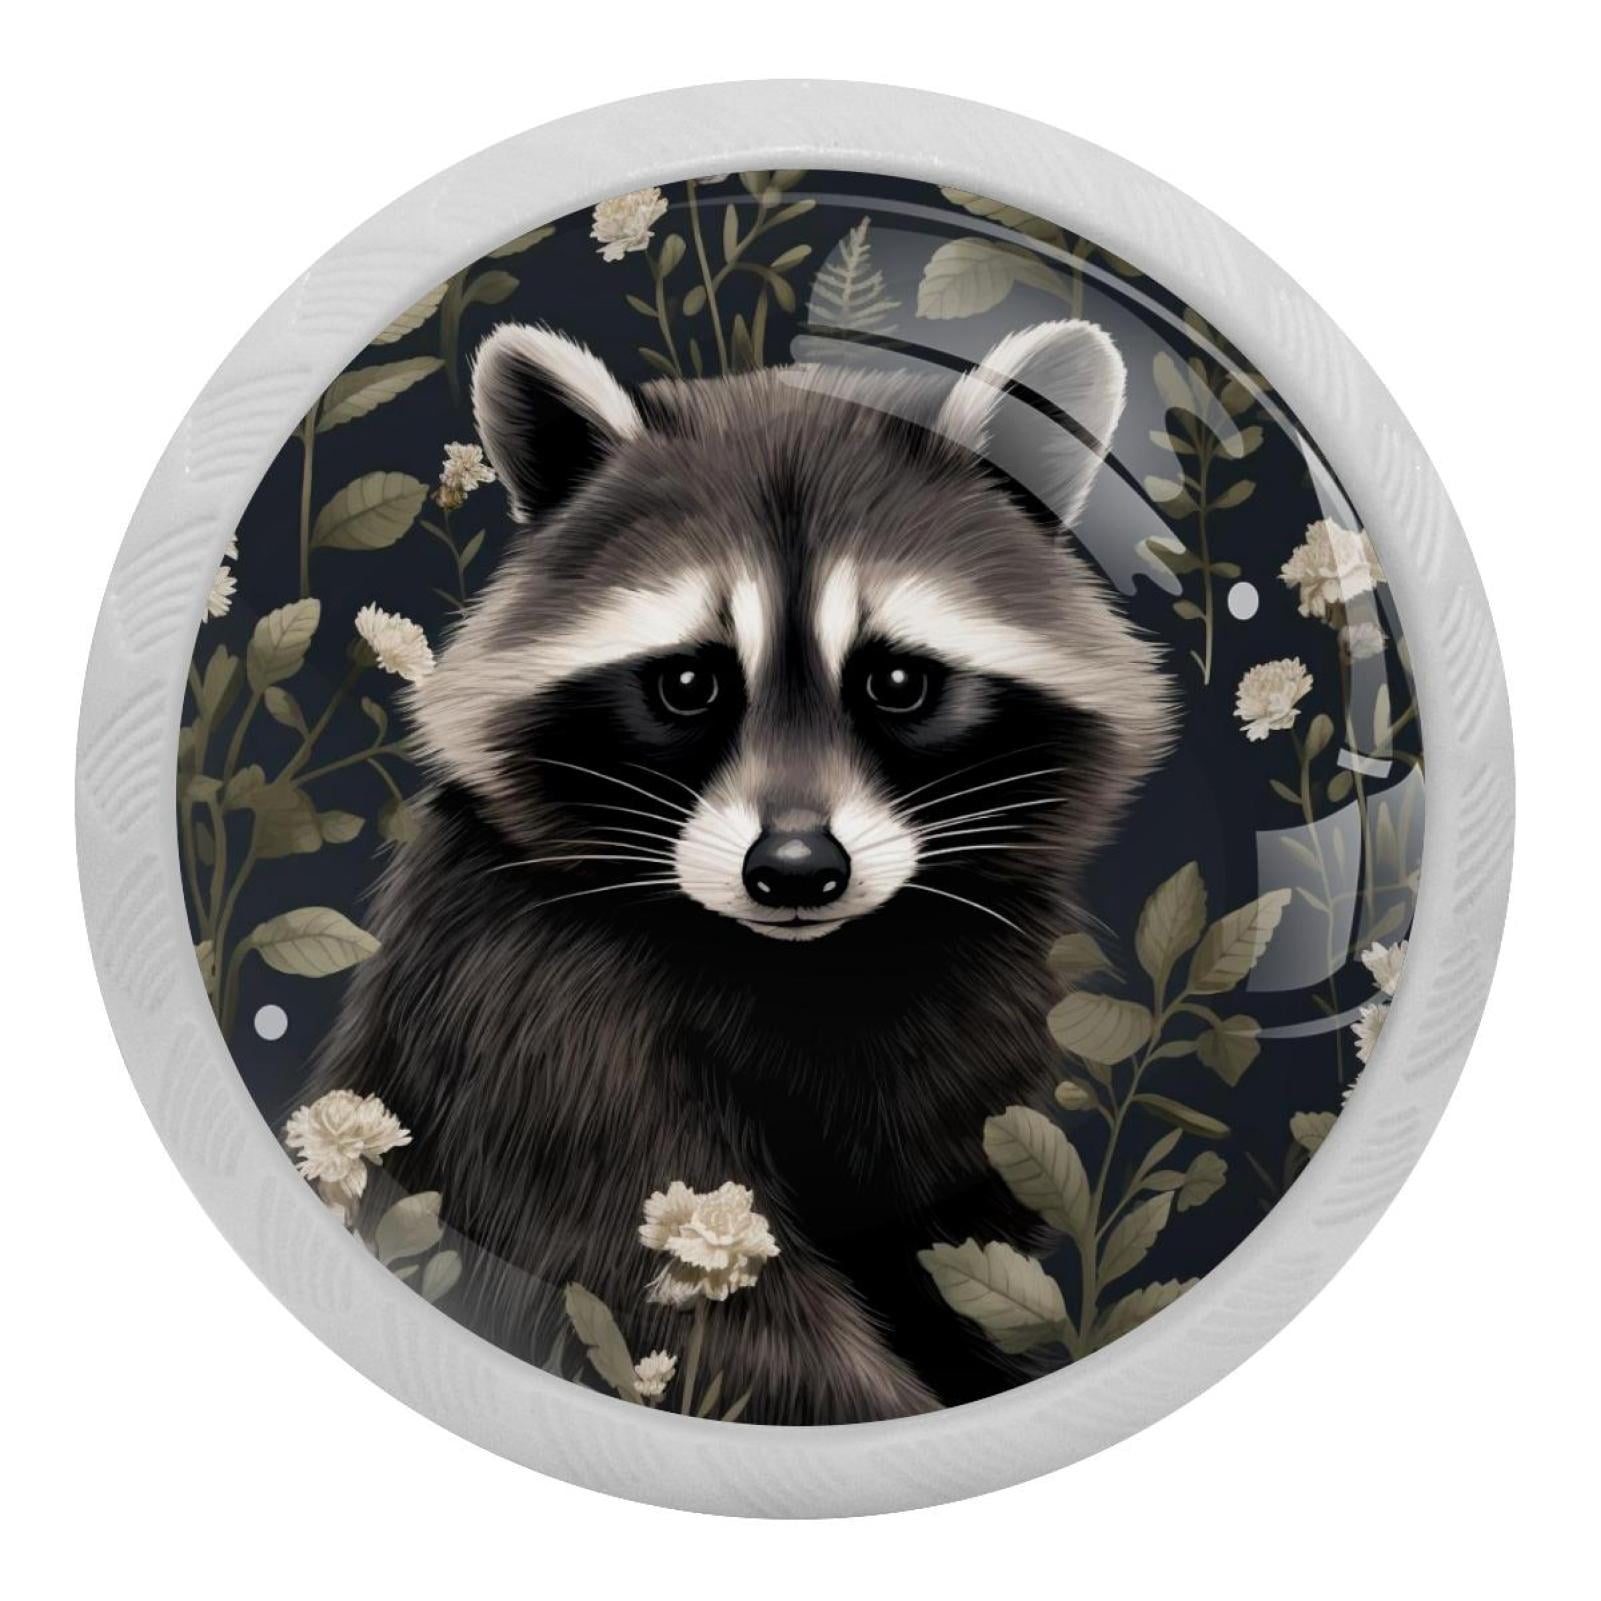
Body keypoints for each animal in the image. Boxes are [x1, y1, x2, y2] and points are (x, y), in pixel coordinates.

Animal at [303, 319, 1176, 1423]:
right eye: (688, 682)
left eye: (897, 680)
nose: (797, 869)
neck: (810, 968)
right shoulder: (526, 1007)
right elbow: (670, 1288)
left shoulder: (984, 1013)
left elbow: (941, 1247)